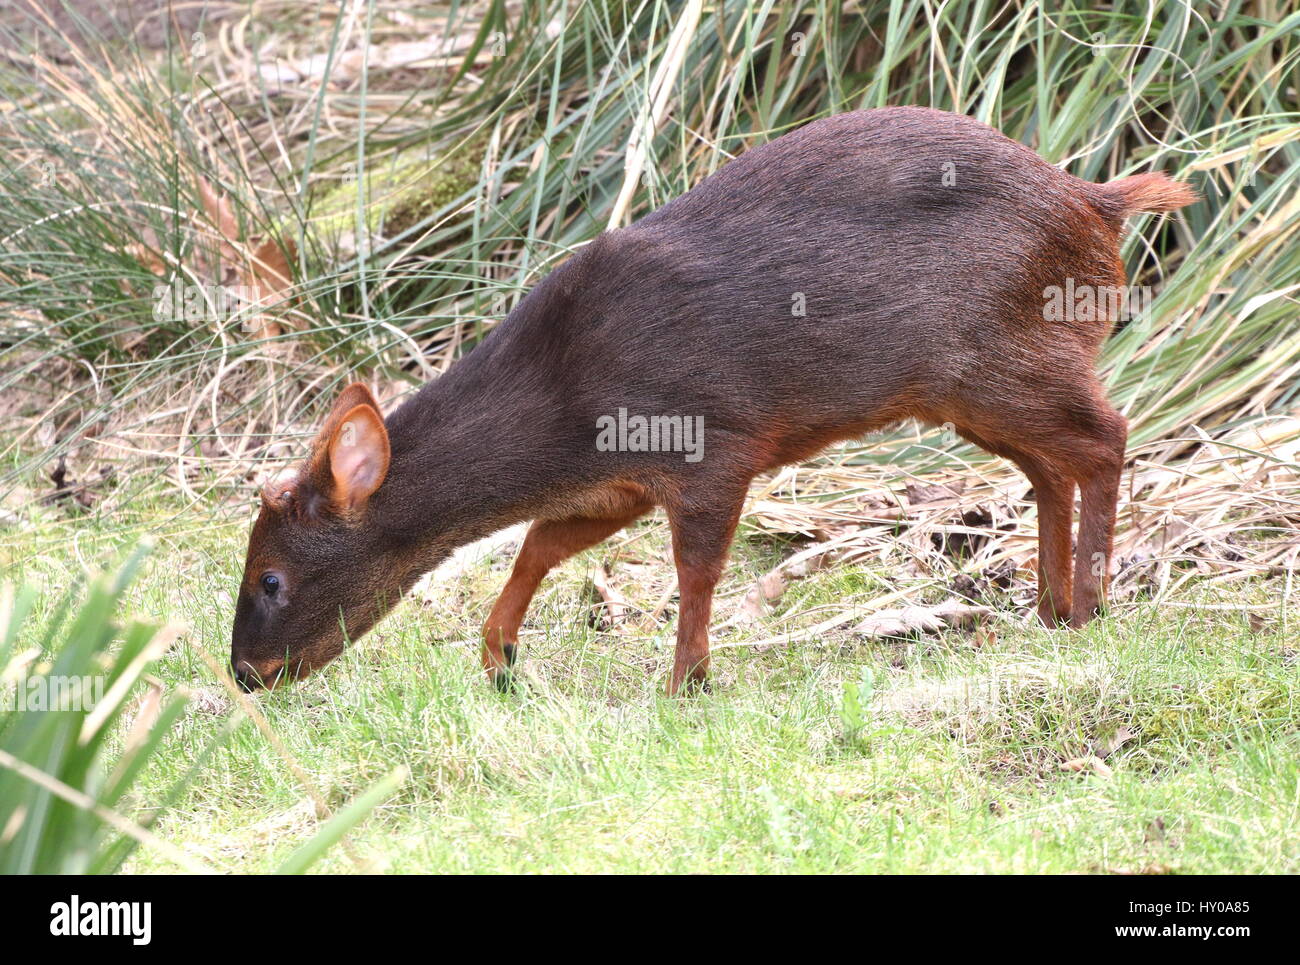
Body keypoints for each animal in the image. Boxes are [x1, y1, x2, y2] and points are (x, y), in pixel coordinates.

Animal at [230, 106, 1195, 695]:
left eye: (271, 577)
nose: (244, 673)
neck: (565, 396)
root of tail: (1100, 202)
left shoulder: (712, 442)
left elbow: (695, 568)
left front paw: (684, 679)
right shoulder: (616, 485)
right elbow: (540, 544)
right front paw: (498, 655)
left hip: (1001, 361)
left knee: (1106, 436)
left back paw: (1090, 603)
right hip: (981, 388)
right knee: (1051, 468)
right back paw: (1050, 606)